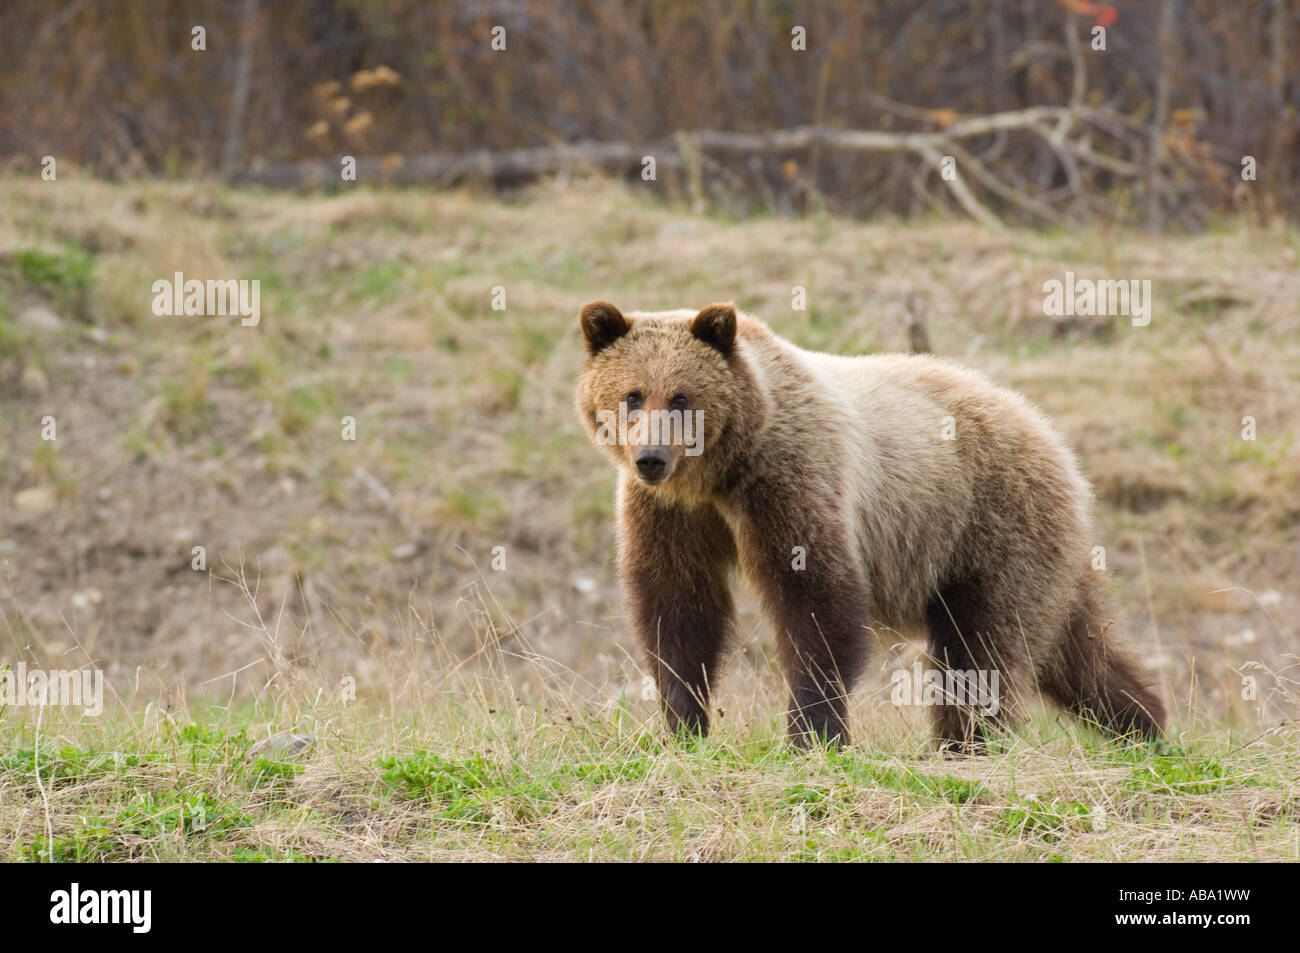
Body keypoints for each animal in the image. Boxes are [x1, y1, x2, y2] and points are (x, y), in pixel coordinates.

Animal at [575, 300, 1166, 752]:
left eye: (681, 397)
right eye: (632, 394)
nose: (651, 457)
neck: (718, 475)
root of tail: (1050, 434)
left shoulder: (791, 478)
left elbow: (817, 600)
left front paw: (812, 734)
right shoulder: (672, 514)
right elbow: (677, 605)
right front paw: (682, 726)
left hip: (988, 526)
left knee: (984, 647)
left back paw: (964, 744)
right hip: (1039, 551)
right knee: (1077, 648)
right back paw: (1144, 722)